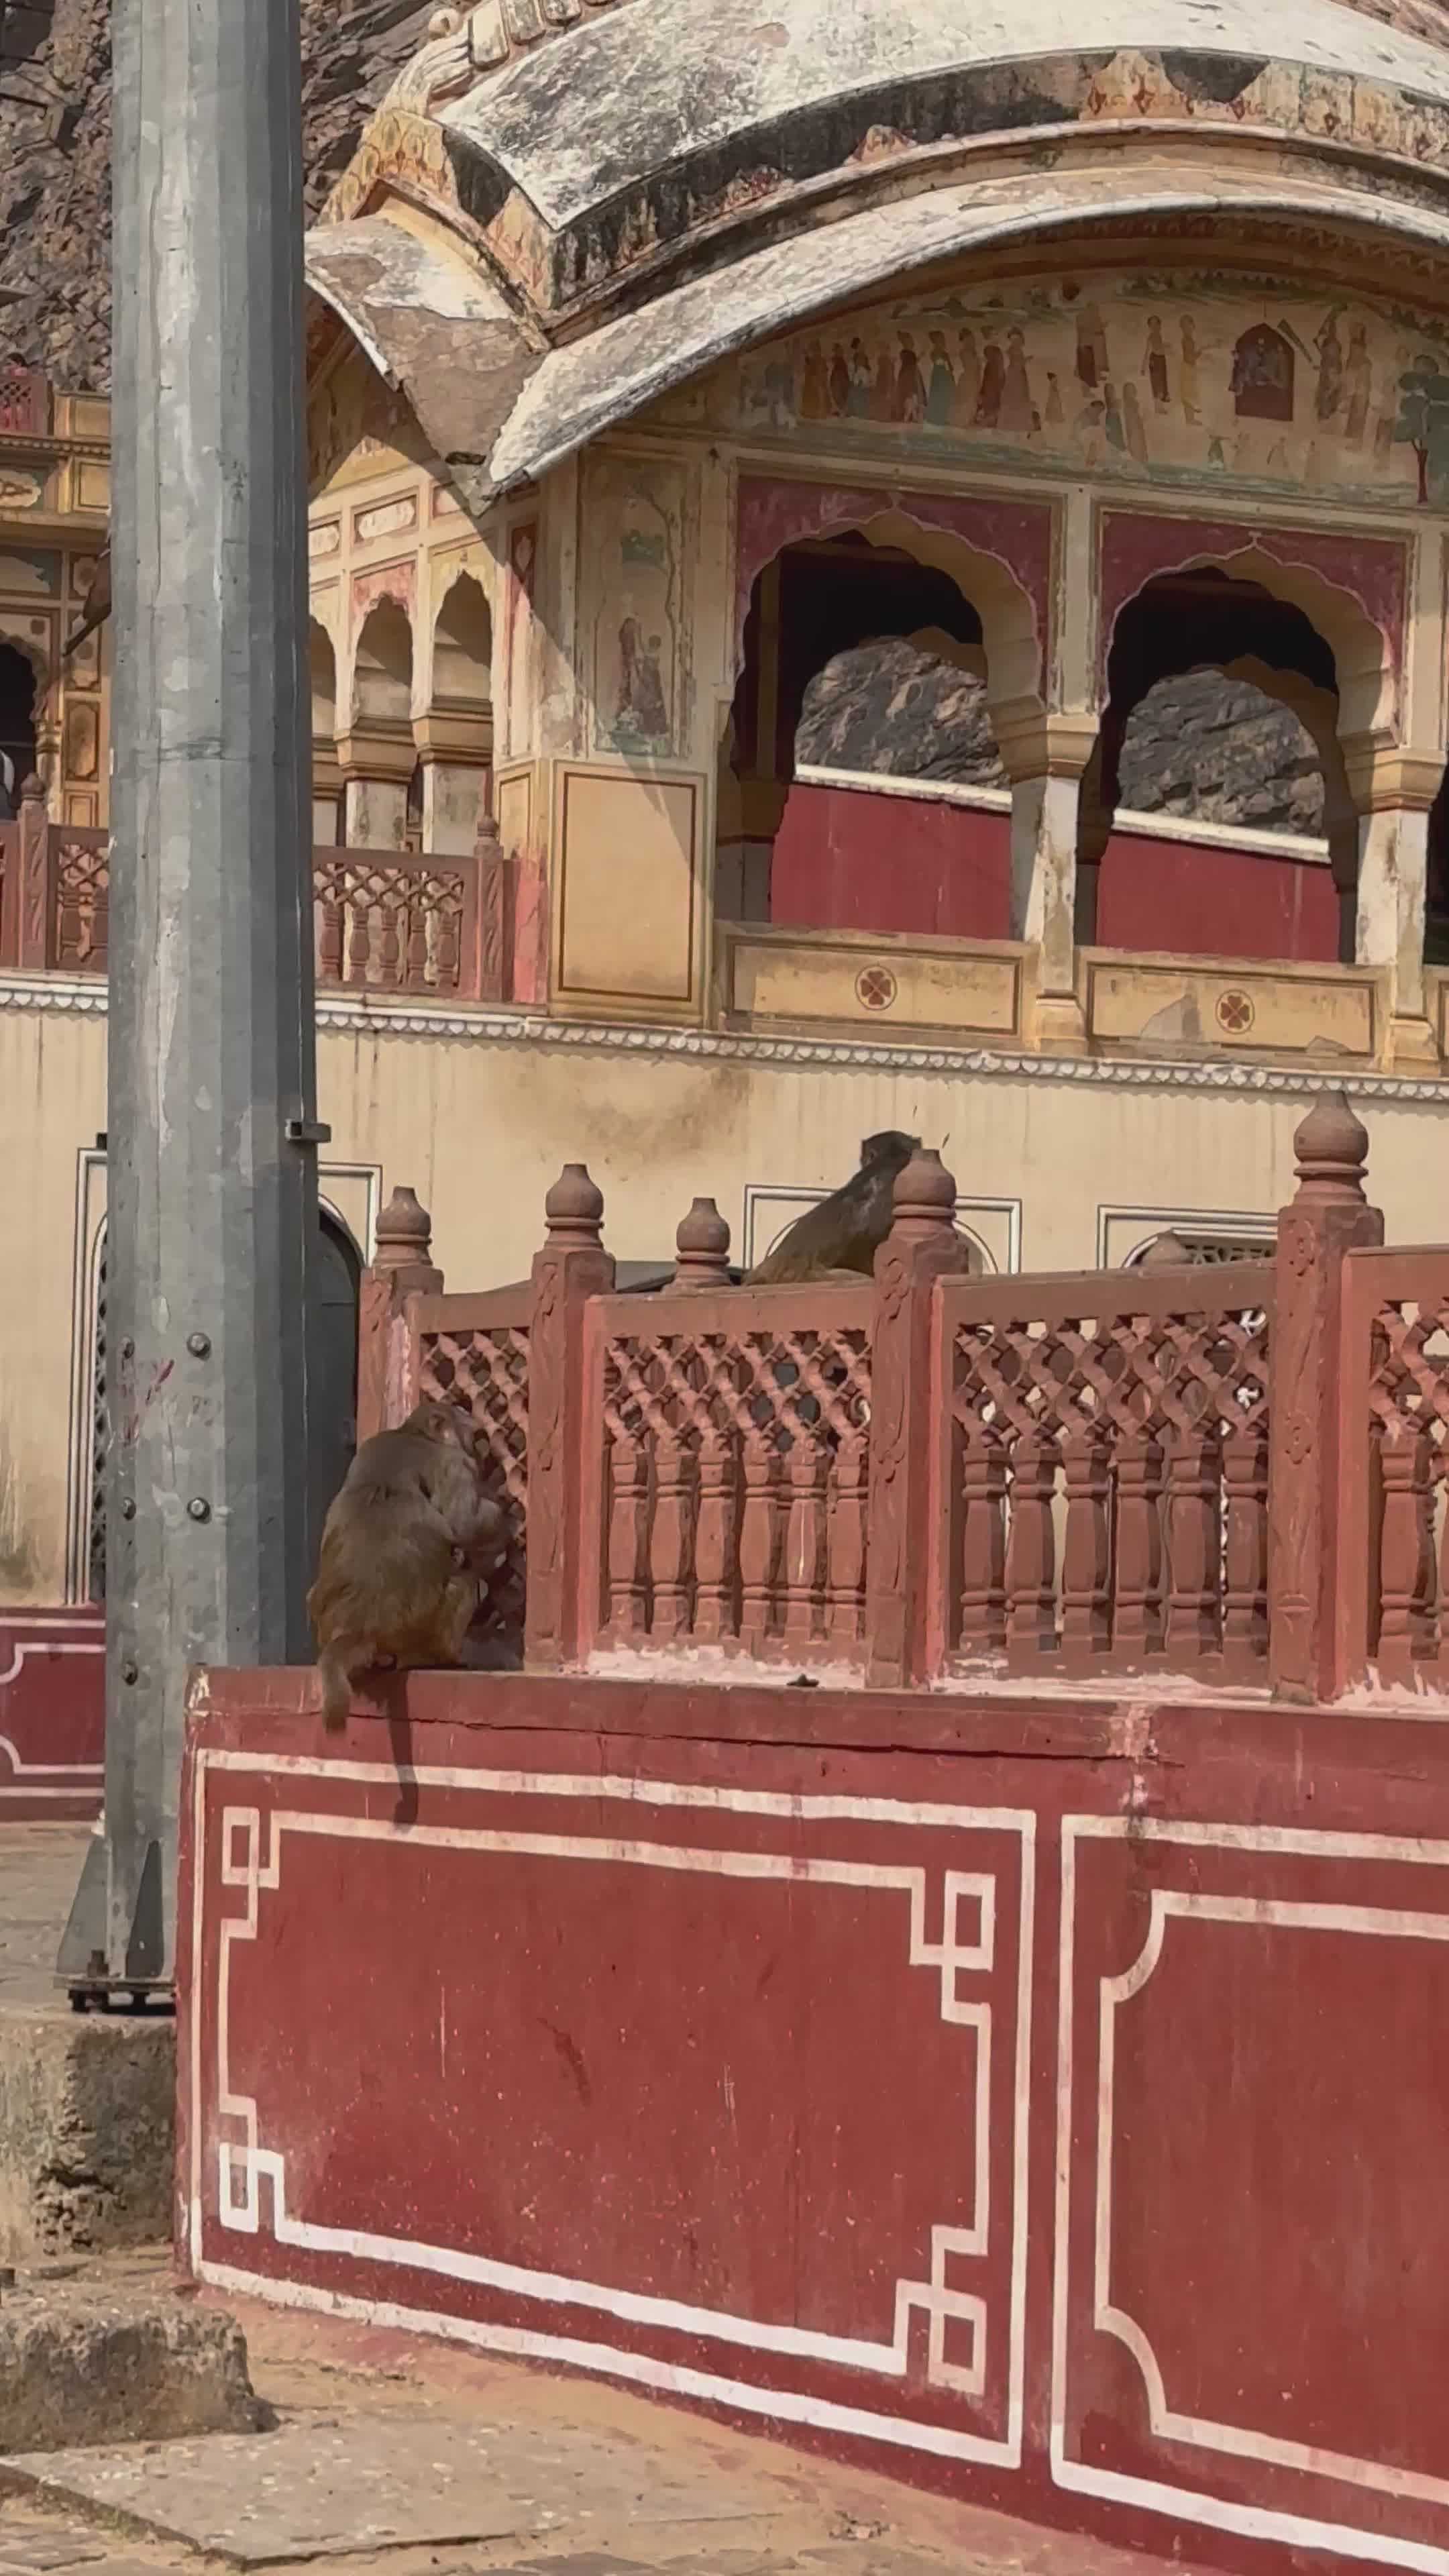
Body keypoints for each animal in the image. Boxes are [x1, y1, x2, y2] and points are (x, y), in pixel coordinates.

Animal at [307, 1399, 507, 1730]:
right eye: (474, 1435)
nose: (480, 1453)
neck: (414, 1434)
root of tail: (358, 1624)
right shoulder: (452, 1461)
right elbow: (465, 1522)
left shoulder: (371, 1446)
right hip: (416, 1635)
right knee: (463, 1585)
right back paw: (446, 1658)